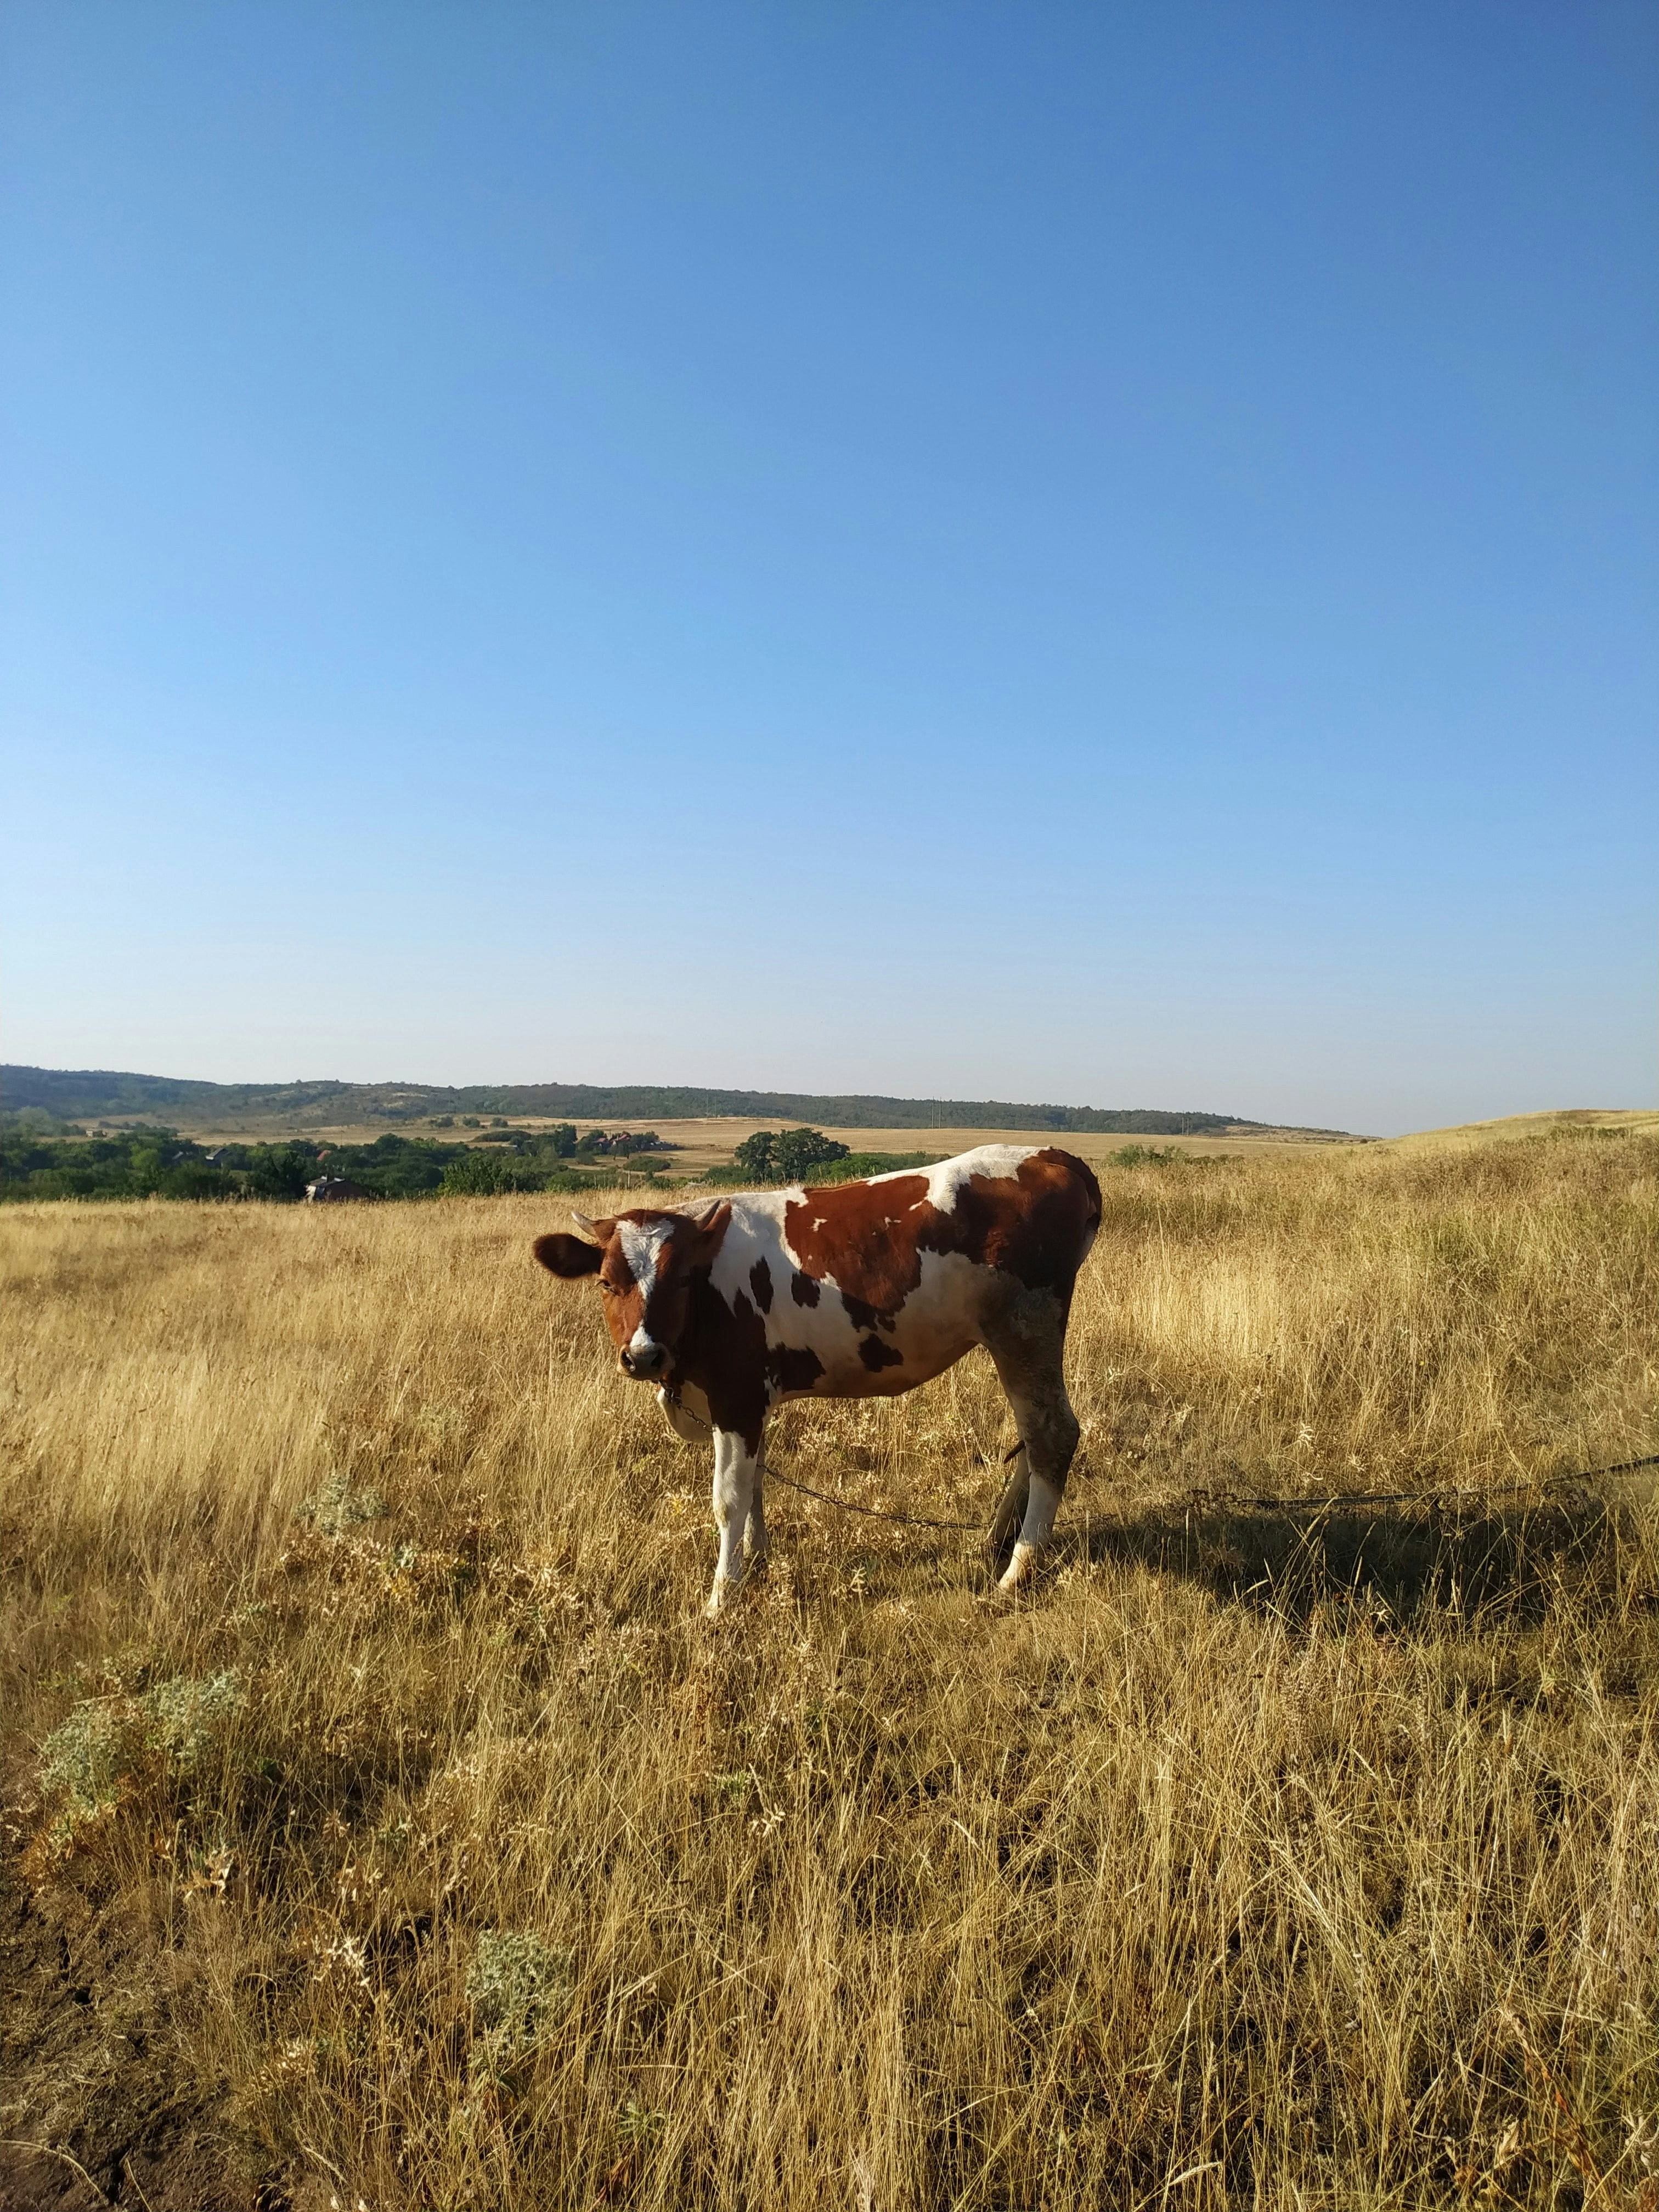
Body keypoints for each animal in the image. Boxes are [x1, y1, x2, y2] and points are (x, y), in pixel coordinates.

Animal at [532, 1144, 1102, 1613]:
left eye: (683, 1280)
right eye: (606, 1282)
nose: (644, 1356)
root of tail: (1049, 1155)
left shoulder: (737, 1396)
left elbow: (730, 1497)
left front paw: (721, 1597)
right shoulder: (751, 1402)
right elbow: (757, 1483)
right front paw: (757, 1564)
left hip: (1025, 1327)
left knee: (1052, 1434)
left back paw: (1016, 1571)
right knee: (1032, 1438)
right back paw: (993, 1541)